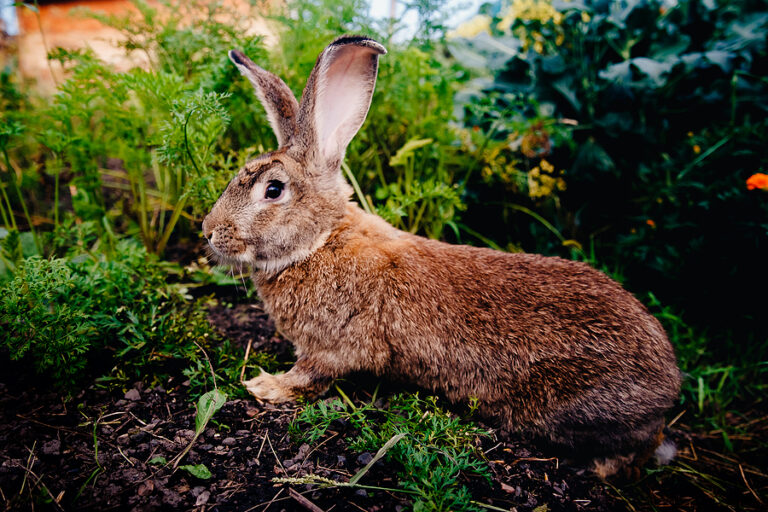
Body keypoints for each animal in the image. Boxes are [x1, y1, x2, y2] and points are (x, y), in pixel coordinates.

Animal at [202, 35, 681, 478]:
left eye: (273, 190)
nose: (208, 230)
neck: (321, 240)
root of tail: (668, 385)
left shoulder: (335, 345)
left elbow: (310, 376)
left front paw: (265, 386)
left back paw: (603, 466)